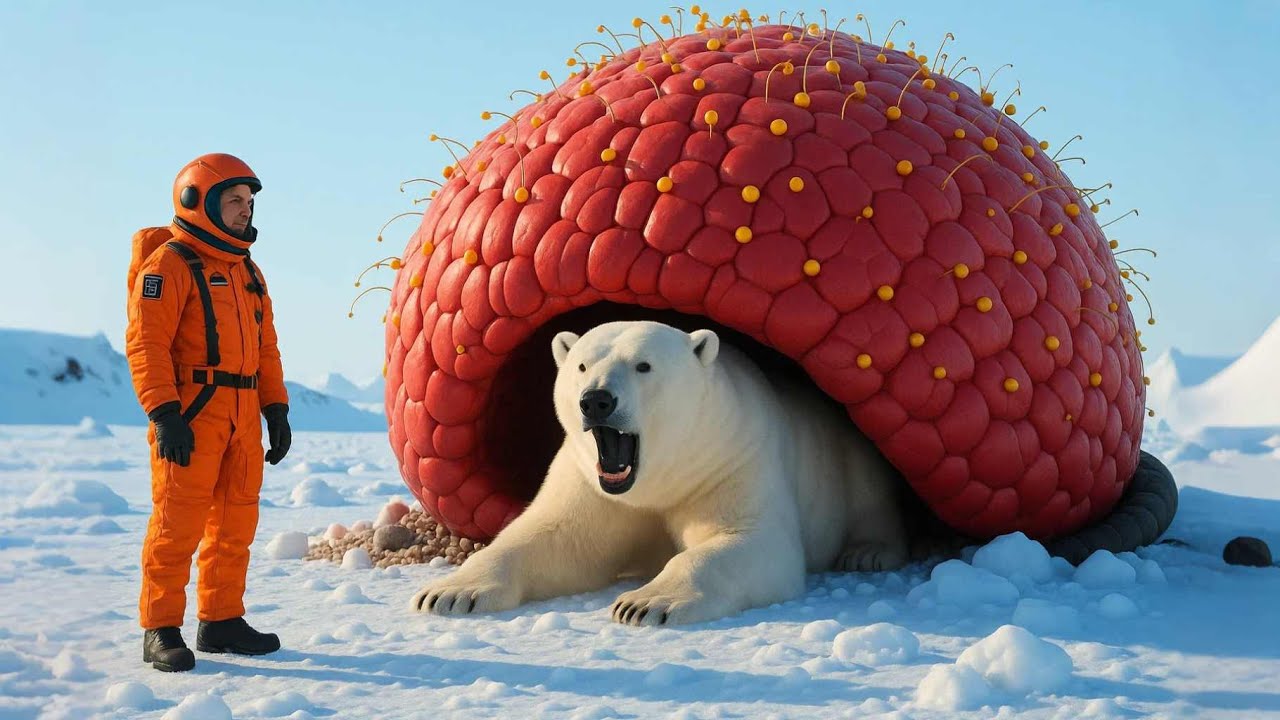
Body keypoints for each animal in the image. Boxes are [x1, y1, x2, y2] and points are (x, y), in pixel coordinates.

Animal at [410, 320, 912, 626]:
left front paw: (644, 602)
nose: (596, 400)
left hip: (850, 460)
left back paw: (868, 552)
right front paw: (448, 594)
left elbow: (748, 540)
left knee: (871, 498)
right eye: (582, 364)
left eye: (643, 365)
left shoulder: (731, 460)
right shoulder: (591, 485)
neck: (661, 476)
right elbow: (552, 537)